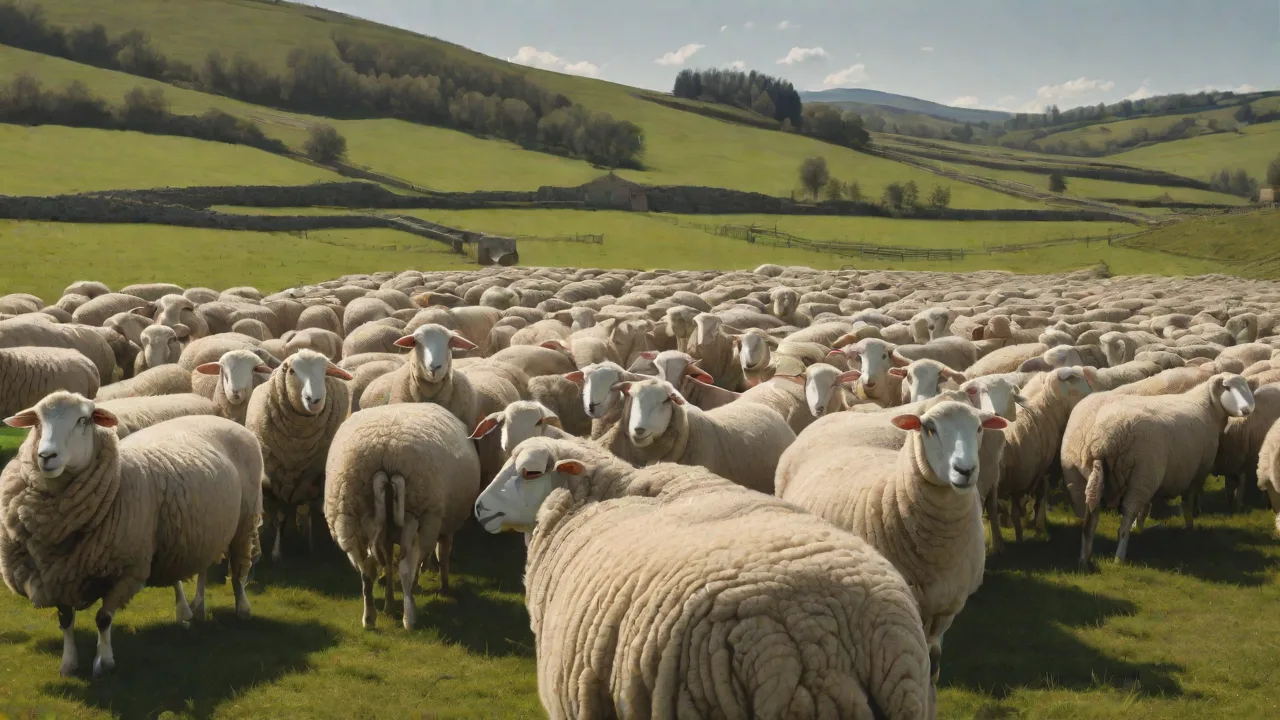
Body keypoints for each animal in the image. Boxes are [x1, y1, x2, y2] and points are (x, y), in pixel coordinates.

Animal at [0, 395, 262, 676]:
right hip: (203, 529)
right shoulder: (56, 576)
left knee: (238, 568)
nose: (46, 456)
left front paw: (104, 661)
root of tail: (223, 420)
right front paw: (68, 664)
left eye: (83, 420)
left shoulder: (125, 571)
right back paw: (195, 609)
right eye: (37, 422)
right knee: (201, 567)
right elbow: (66, 620)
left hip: (245, 520)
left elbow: (103, 618)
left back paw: (242, 608)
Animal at [246, 350, 353, 561]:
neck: (298, 443)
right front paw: (277, 552)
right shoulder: (275, 477)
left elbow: (310, 511)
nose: (315, 400)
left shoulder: (314, 476)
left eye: (325, 372)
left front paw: (312, 548)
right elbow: (280, 517)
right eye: (292, 371)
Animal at [324, 403, 482, 629]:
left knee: (367, 568)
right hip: (416, 514)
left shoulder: (388, 533)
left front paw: (389, 602)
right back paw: (409, 619)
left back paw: (369, 617)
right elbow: (442, 554)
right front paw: (444, 587)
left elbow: (389, 561)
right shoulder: (445, 526)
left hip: (348, 514)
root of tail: (386, 450)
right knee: (406, 567)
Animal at [1070, 374, 1256, 567]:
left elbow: (1146, 507)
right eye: (1227, 387)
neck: (1206, 406)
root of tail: (1108, 440)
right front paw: (1189, 526)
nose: (1247, 409)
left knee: (1090, 516)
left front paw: (1140, 526)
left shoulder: (1156, 475)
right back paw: (1119, 557)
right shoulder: (1196, 471)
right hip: (1142, 474)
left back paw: (1084, 557)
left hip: (1100, 471)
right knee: (1126, 516)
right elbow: (1187, 501)